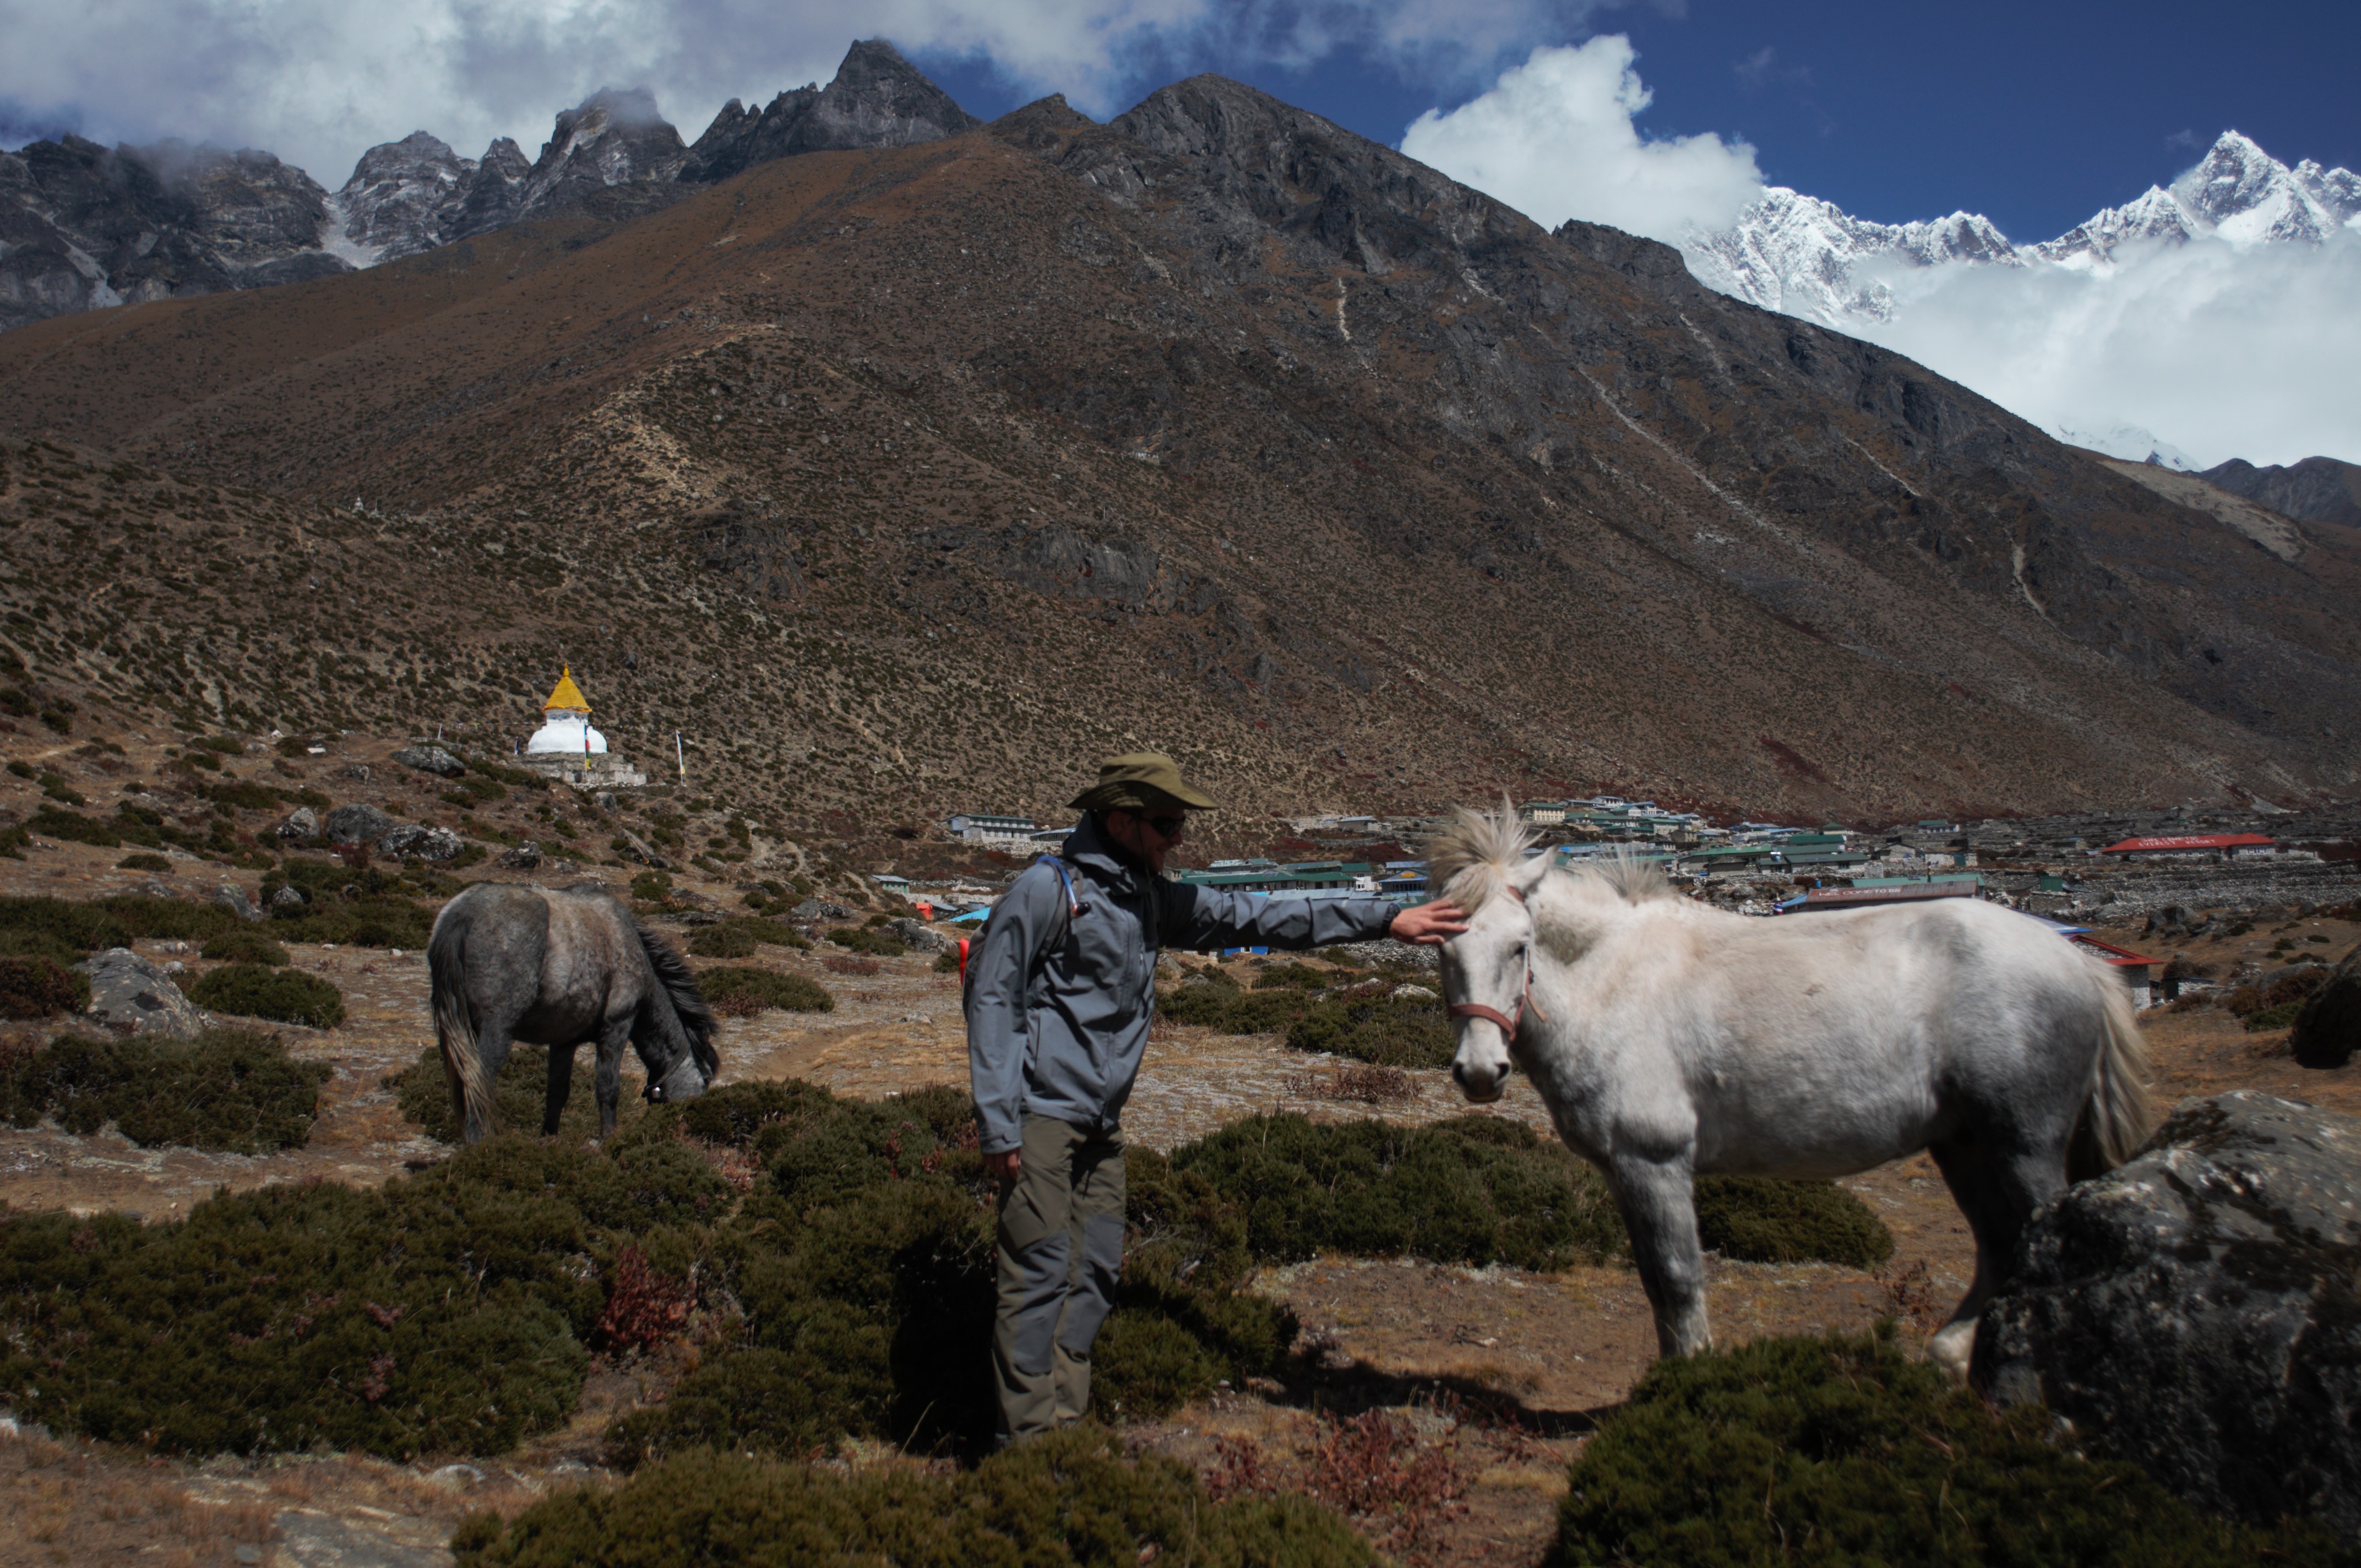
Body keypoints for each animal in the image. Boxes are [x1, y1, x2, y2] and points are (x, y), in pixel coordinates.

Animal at [427, 883, 712, 1138]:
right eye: (705, 1086)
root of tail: (462, 914)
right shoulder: (616, 1028)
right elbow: (608, 1088)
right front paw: (609, 1138)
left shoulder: (563, 1043)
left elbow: (557, 1092)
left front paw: (549, 1138)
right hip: (496, 1030)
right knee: (479, 1081)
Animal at [1426, 807, 2153, 1369]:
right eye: (1442, 949)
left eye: (1521, 945)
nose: (1481, 1073)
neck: (1613, 980)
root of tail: (2080, 964)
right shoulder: (1626, 1173)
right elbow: (1656, 1283)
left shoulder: (1654, 1162)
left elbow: (1677, 1280)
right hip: (1967, 1147)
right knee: (2000, 1247)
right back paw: (1948, 1360)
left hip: (2023, 1148)